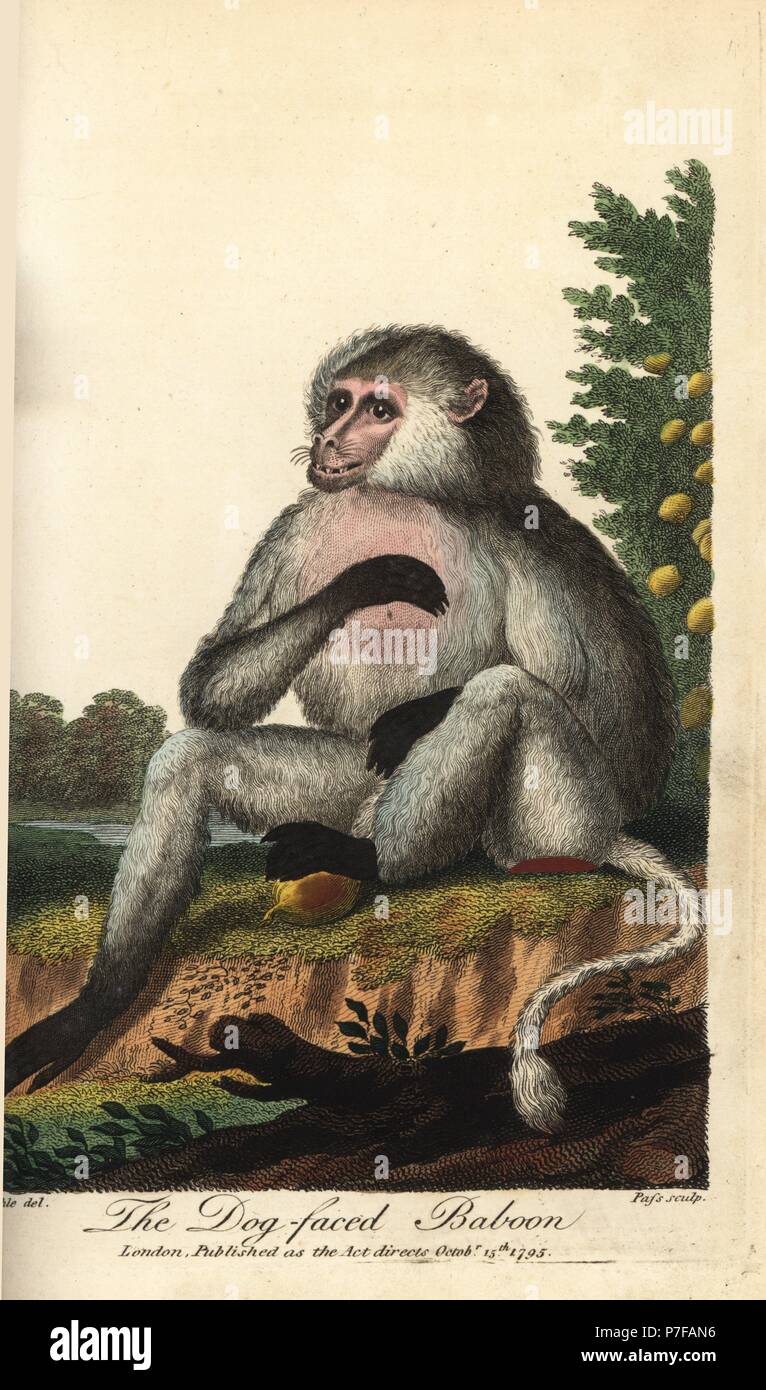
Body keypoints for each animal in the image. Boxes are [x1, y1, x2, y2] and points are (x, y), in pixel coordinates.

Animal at [5, 325, 705, 1132]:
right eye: (342, 401)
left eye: (379, 409)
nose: (329, 439)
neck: (404, 493)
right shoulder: (295, 524)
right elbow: (208, 690)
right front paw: (361, 583)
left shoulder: (524, 534)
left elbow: (586, 697)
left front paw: (418, 712)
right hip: (349, 786)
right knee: (192, 761)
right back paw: (106, 998)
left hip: (556, 820)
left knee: (505, 695)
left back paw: (377, 858)